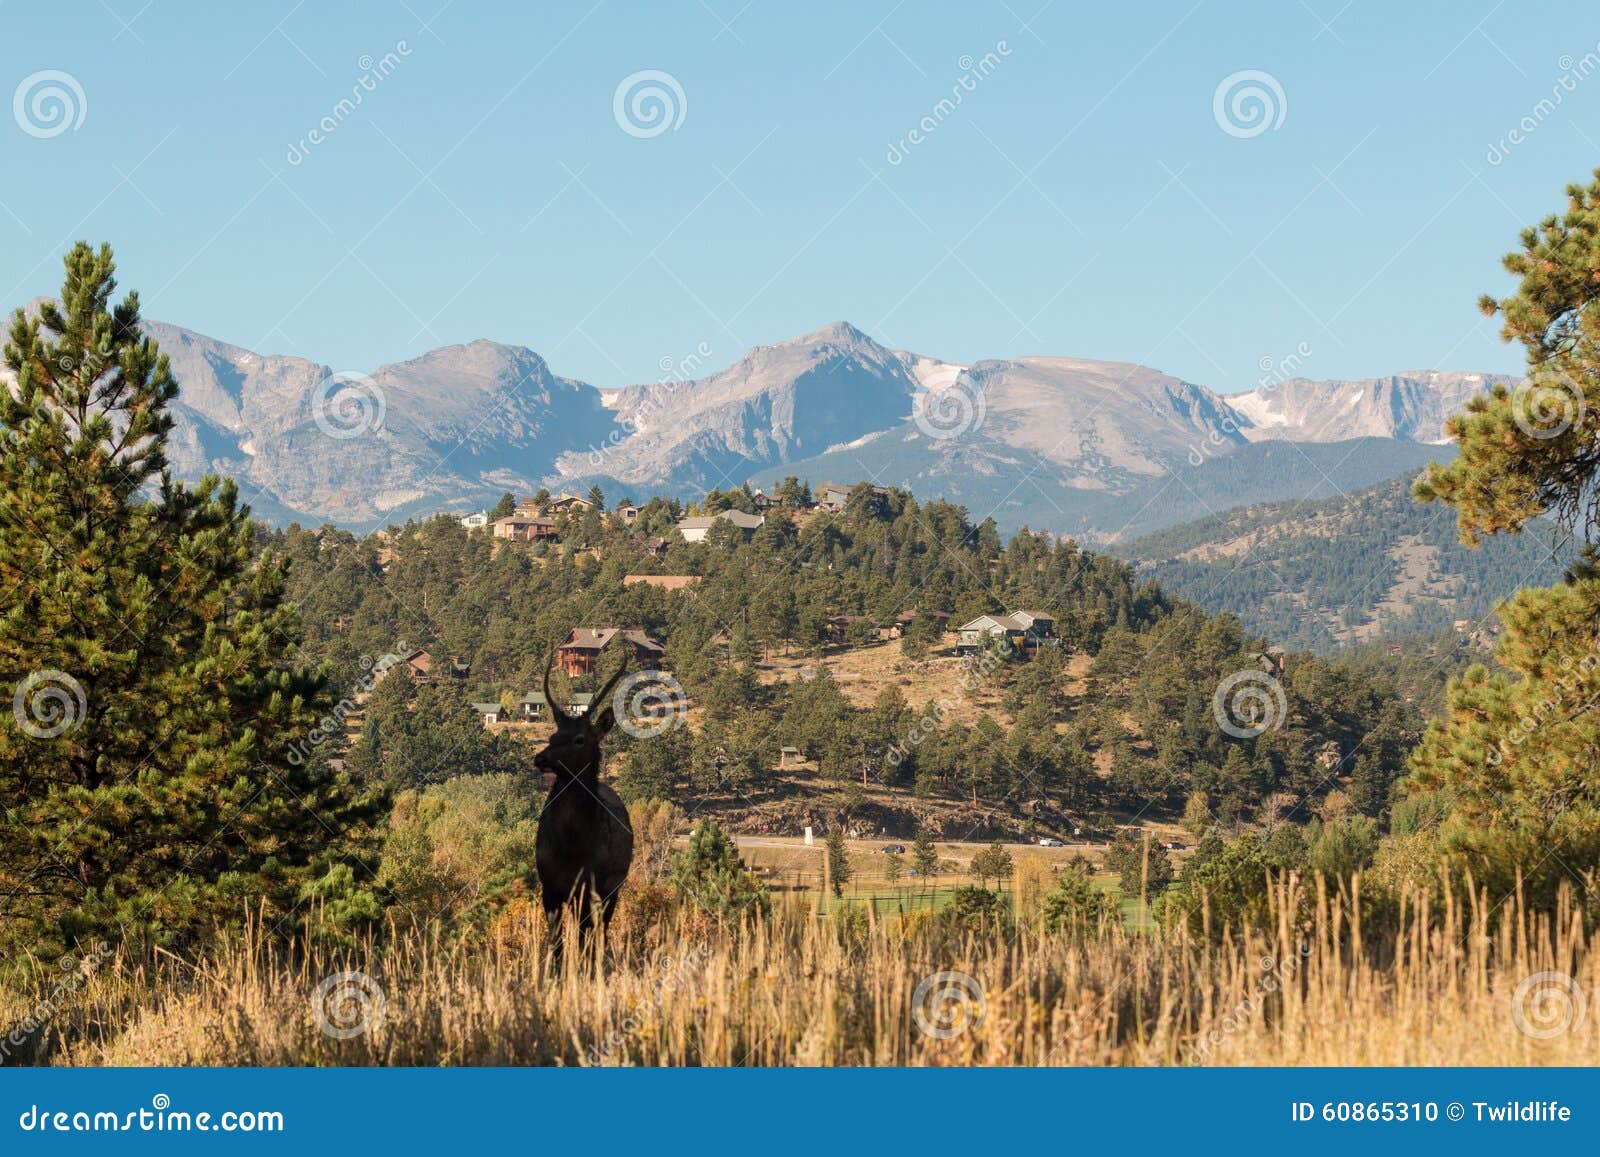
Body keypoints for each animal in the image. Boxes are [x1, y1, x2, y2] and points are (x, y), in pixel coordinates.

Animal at [533, 649, 634, 951]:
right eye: (553, 735)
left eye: (579, 739)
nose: (540, 759)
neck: (570, 845)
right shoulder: (549, 887)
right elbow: (555, 944)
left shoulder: (591, 888)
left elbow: (582, 939)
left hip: (613, 889)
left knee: (598, 933)